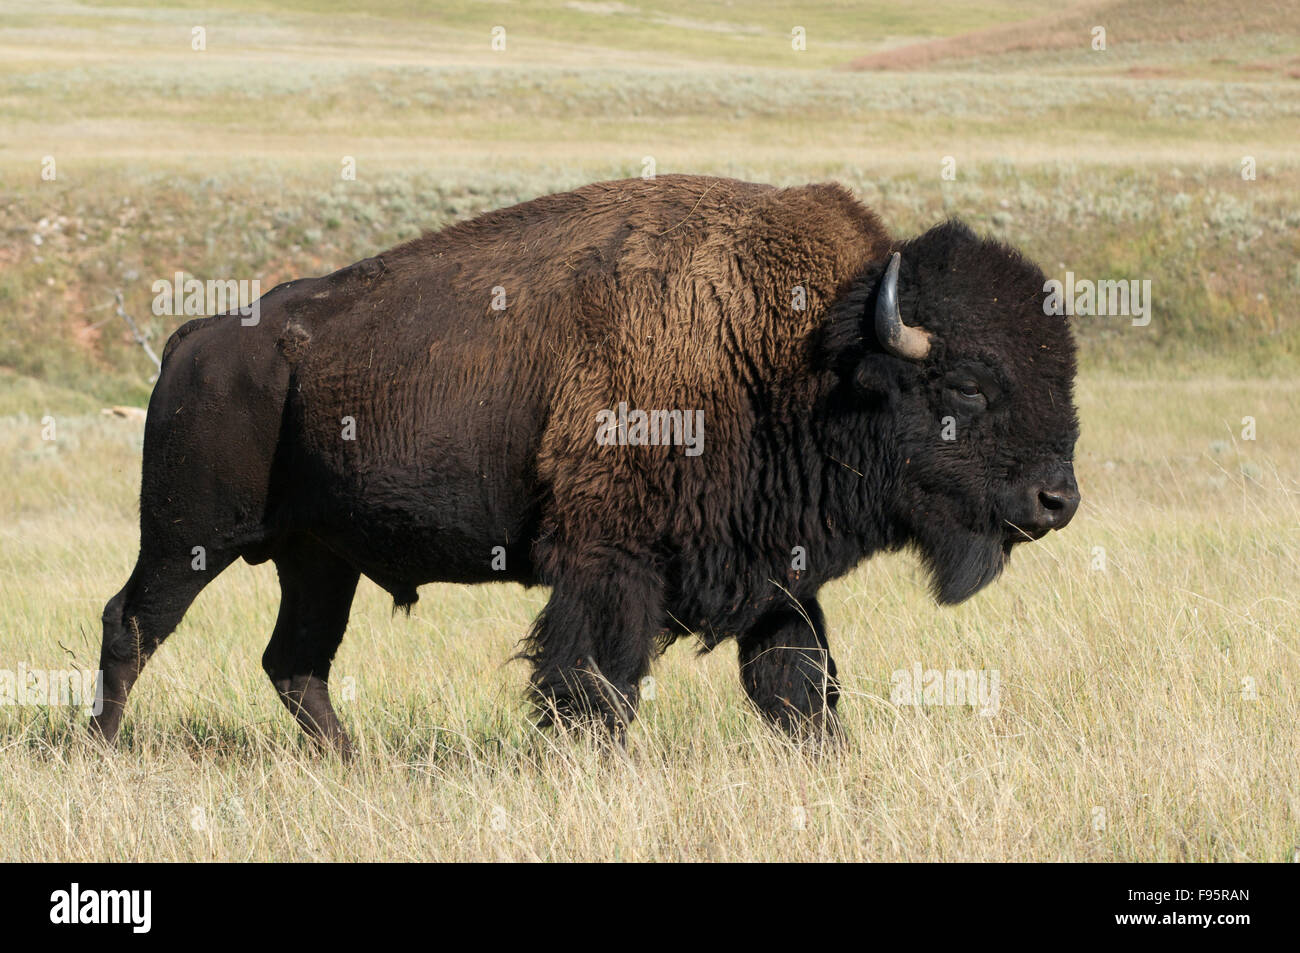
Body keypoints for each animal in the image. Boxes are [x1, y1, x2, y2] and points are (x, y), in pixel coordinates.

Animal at [92, 175, 1079, 754]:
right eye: (967, 385)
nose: (1057, 498)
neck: (804, 351)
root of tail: (196, 336)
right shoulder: (609, 565)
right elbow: (595, 685)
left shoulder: (776, 575)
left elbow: (798, 683)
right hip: (189, 538)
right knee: (131, 623)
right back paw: (100, 749)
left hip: (318, 559)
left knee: (294, 661)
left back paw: (348, 763)